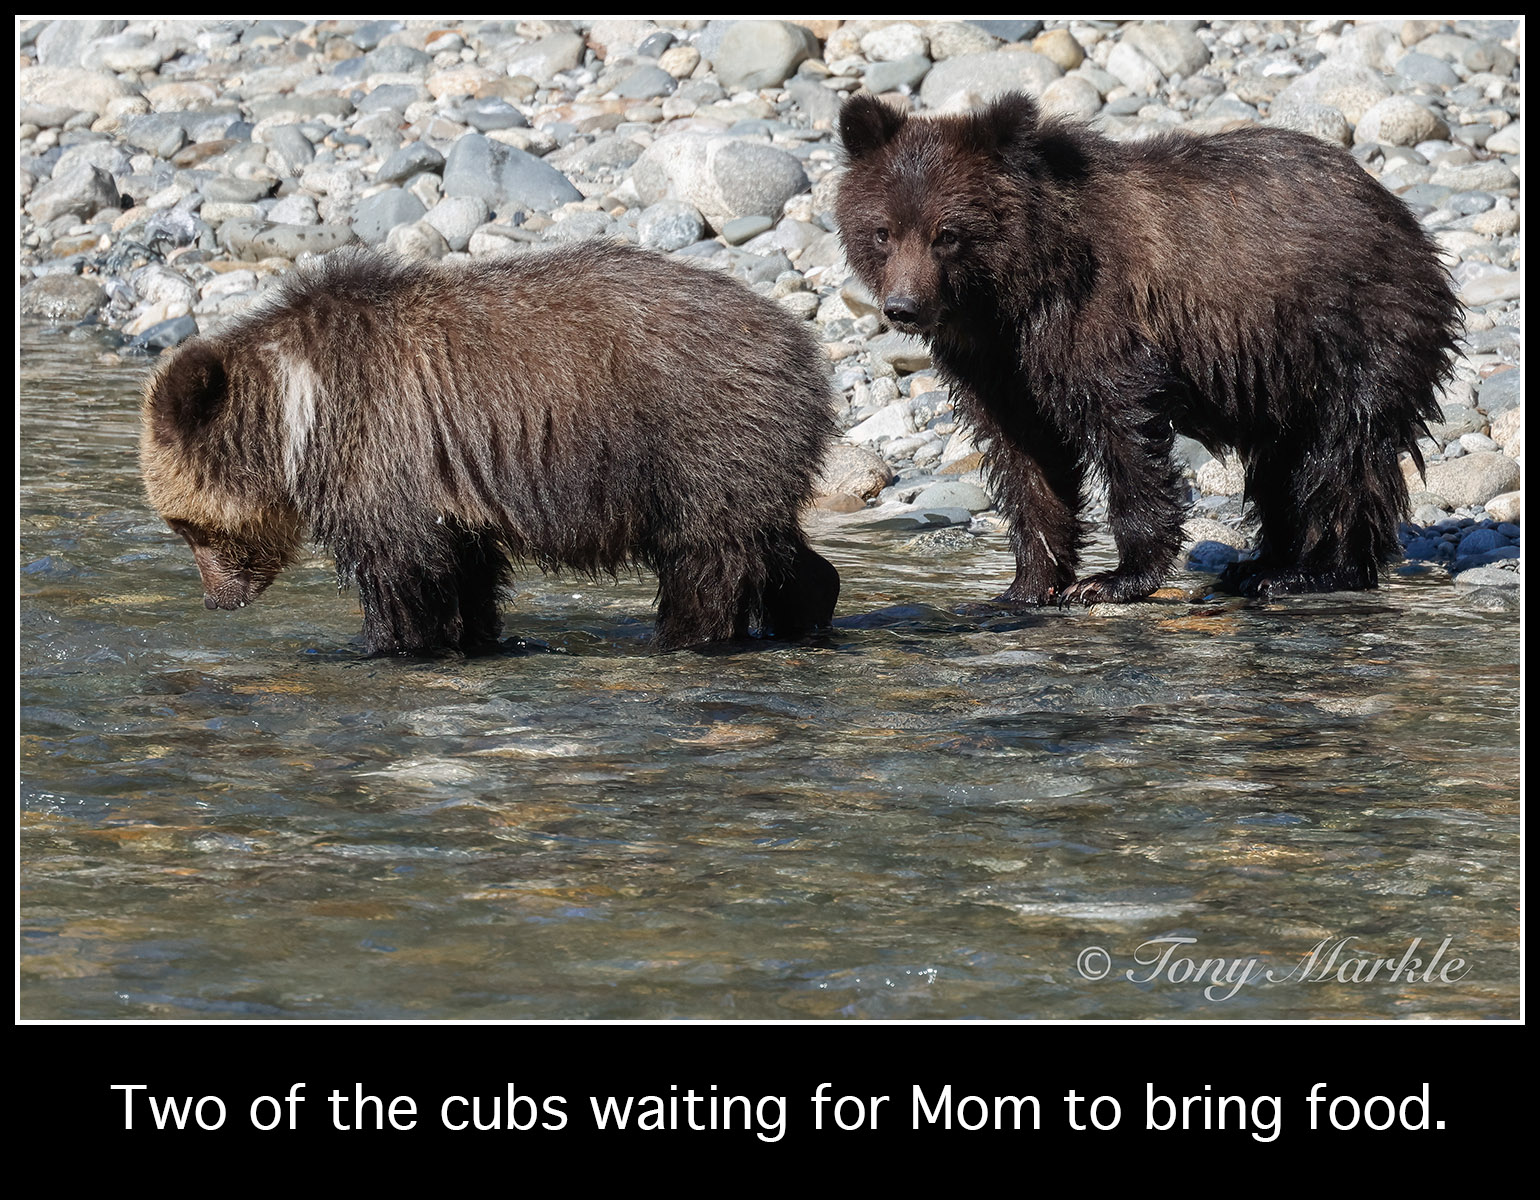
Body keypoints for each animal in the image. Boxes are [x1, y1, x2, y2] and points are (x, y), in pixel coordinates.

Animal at [139, 242, 840, 655]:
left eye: (186, 527)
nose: (217, 598)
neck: (296, 413)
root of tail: (806, 348)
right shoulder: (447, 476)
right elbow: (464, 566)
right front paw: (471, 635)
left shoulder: (378, 441)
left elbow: (402, 568)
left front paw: (392, 644)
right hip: (748, 455)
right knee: (772, 545)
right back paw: (807, 606)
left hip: (698, 435)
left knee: (707, 554)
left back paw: (684, 634)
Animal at [835, 91, 1461, 604]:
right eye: (883, 231)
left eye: (947, 234)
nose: (903, 307)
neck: (1017, 293)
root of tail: (1403, 217)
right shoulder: (998, 365)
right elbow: (1025, 457)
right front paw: (1026, 584)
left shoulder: (1099, 319)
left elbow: (1126, 431)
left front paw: (1112, 578)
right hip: (1279, 372)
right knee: (1284, 461)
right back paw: (1261, 564)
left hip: (1349, 327)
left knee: (1341, 449)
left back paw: (1311, 570)